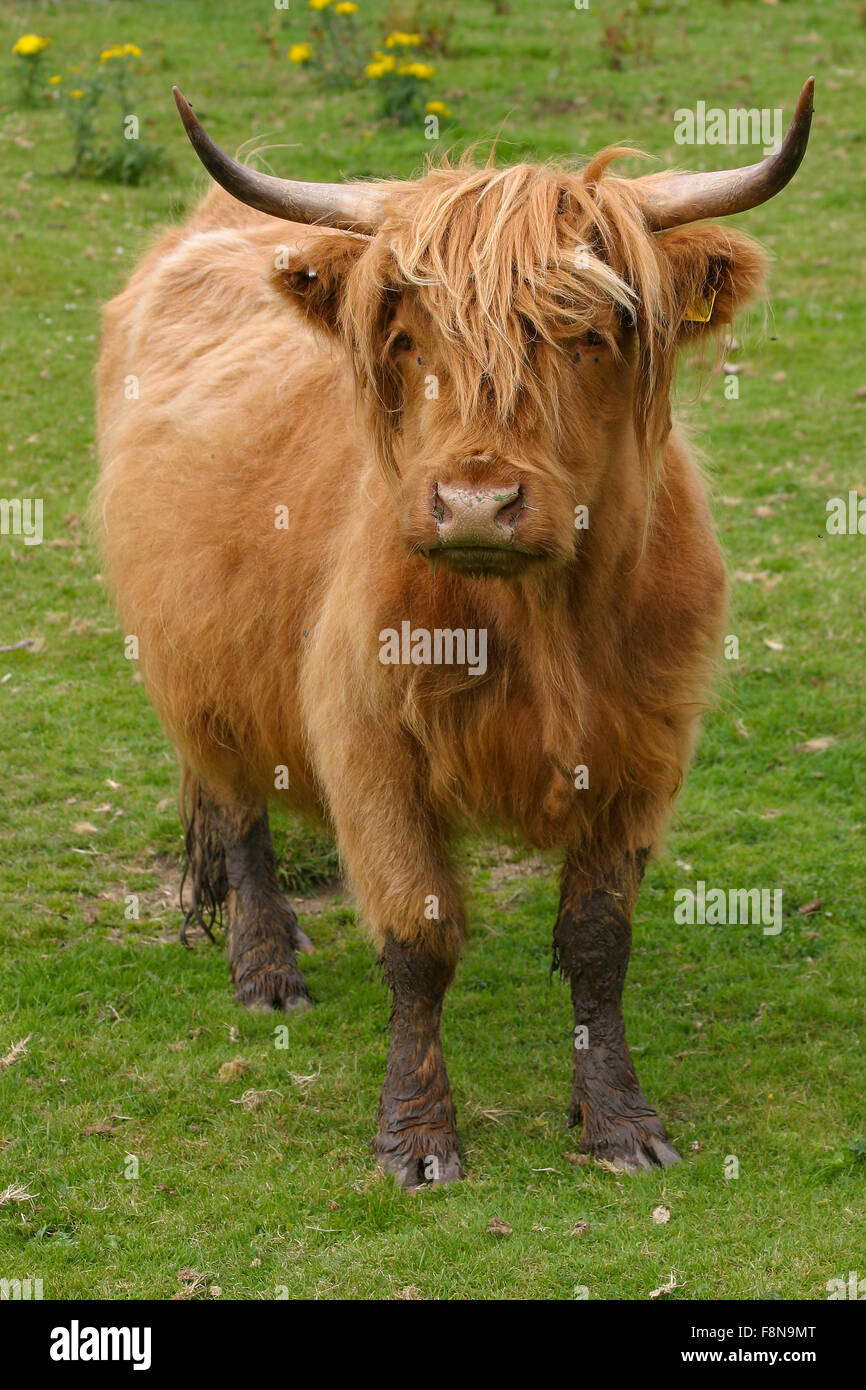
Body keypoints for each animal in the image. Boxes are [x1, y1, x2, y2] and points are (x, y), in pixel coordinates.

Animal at [93, 80, 813, 1186]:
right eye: (408, 339)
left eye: (588, 334)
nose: (476, 504)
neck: (537, 625)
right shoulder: (366, 742)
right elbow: (418, 939)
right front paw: (417, 1138)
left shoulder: (647, 750)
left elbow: (598, 942)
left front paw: (618, 1123)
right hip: (195, 669)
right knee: (239, 806)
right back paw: (267, 967)